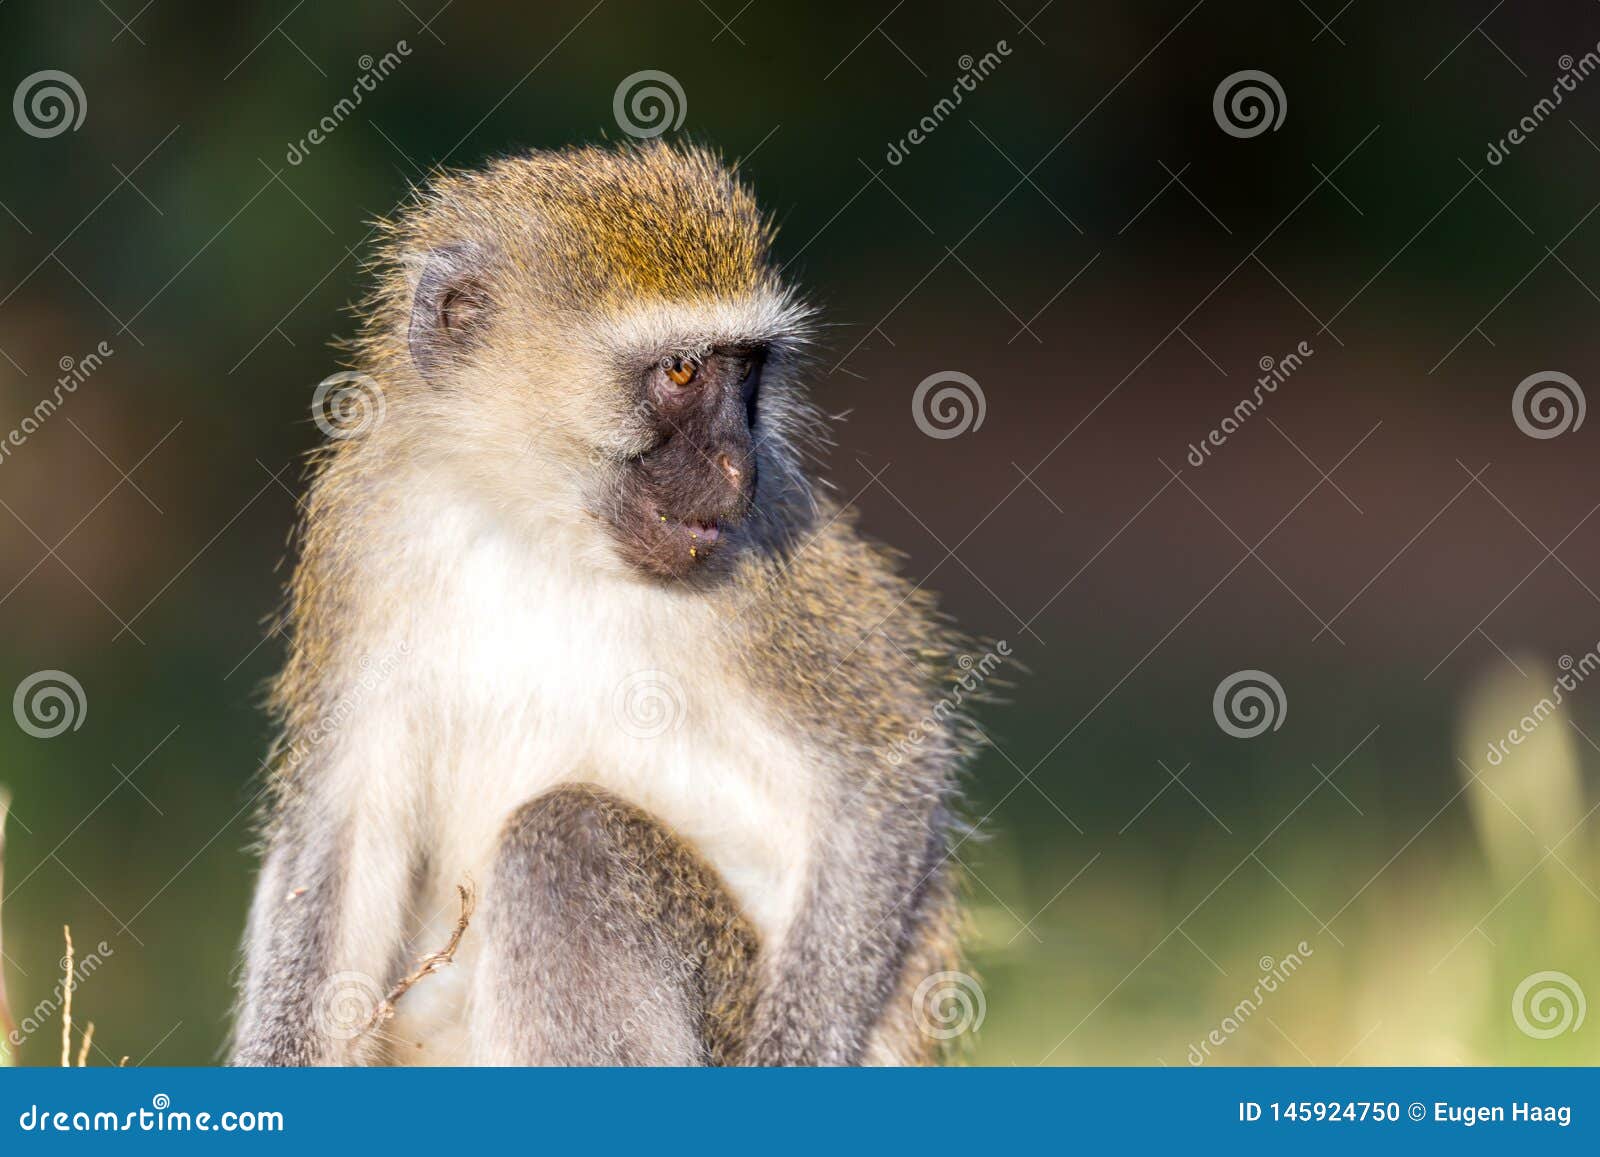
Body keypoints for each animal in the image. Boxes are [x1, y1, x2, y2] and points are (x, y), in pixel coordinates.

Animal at [231, 142, 974, 1067]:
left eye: (748, 371)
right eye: (682, 370)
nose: (739, 466)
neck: (536, 523)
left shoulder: (766, 549)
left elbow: (884, 770)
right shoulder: (364, 535)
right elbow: (341, 838)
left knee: (569, 840)